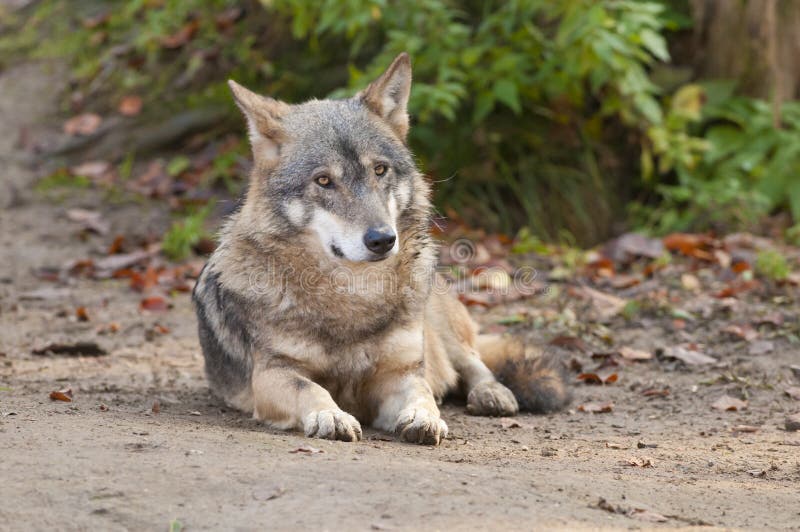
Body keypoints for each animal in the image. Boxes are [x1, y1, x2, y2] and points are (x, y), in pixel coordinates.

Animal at [192, 53, 570, 445]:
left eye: (379, 170)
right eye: (324, 181)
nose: (382, 239)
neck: (354, 294)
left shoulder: (400, 373)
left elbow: (422, 392)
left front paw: (424, 417)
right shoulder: (272, 373)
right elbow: (310, 389)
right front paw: (331, 416)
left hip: (435, 318)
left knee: (471, 361)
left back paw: (491, 393)